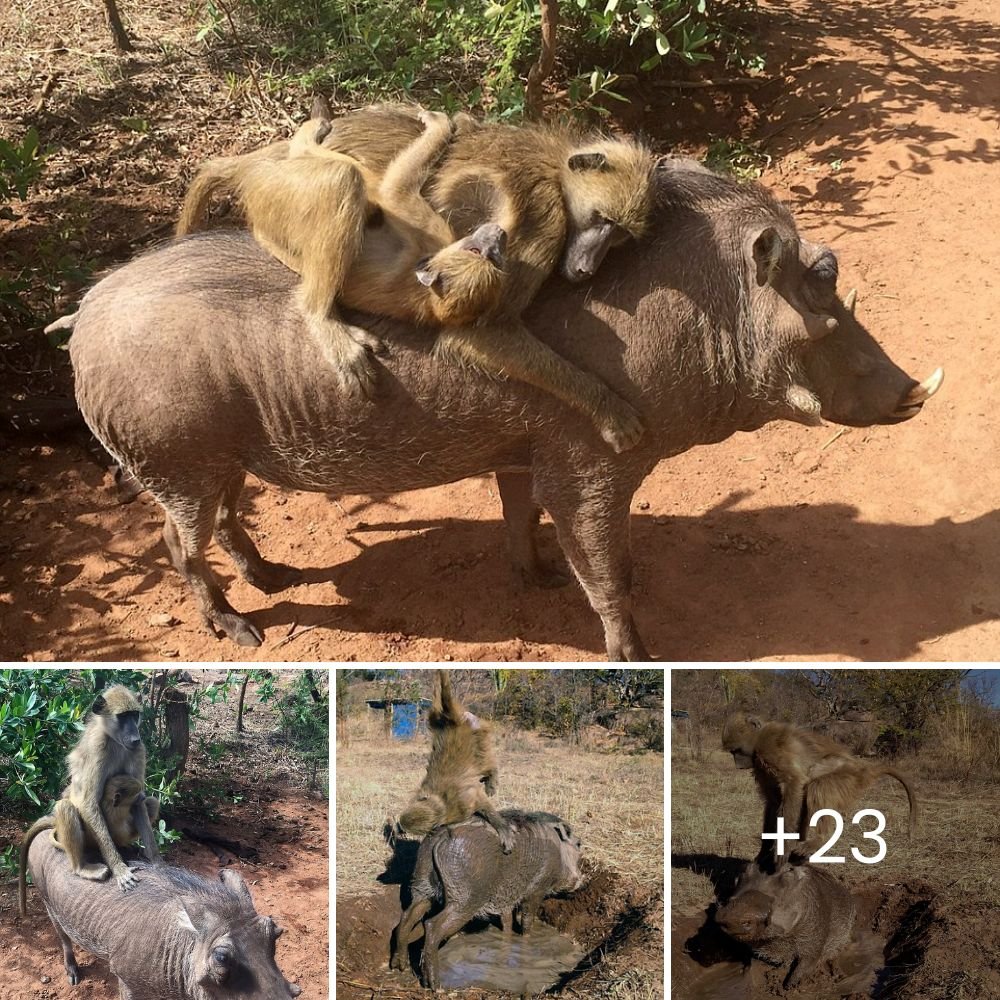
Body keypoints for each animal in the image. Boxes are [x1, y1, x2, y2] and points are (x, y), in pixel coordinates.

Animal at [18, 686, 162, 916]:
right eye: (123, 716)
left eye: (134, 715)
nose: (135, 738)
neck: (115, 742)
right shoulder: (98, 749)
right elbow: (88, 803)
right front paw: (119, 869)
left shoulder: (139, 751)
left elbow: (139, 800)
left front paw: (157, 861)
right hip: (90, 838)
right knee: (67, 807)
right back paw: (83, 868)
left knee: (152, 802)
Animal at [176, 104, 508, 398]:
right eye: (480, 252)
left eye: (492, 257)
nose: (498, 236)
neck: (424, 299)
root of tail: (252, 172)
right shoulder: (434, 238)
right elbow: (394, 191)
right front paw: (440, 124)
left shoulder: (430, 238)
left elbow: (394, 191)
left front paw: (437, 124)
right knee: (345, 177)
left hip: (271, 190)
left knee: (340, 177)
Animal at [311, 103, 658, 453]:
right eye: (603, 219)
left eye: (620, 233)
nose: (587, 268)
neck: (554, 162)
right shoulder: (547, 217)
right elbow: (480, 332)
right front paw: (607, 408)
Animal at [396, 669, 515, 852]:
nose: (399, 829)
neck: (440, 800)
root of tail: (451, 721)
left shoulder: (461, 803)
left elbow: (480, 802)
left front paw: (501, 827)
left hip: (475, 731)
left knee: (484, 762)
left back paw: (492, 776)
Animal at [722, 715, 917, 871]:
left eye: (736, 751)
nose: (737, 764)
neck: (759, 737)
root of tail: (863, 768)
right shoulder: (761, 767)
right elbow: (773, 801)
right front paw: (763, 853)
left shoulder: (769, 749)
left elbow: (794, 784)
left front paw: (782, 847)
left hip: (847, 776)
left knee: (816, 784)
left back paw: (819, 839)